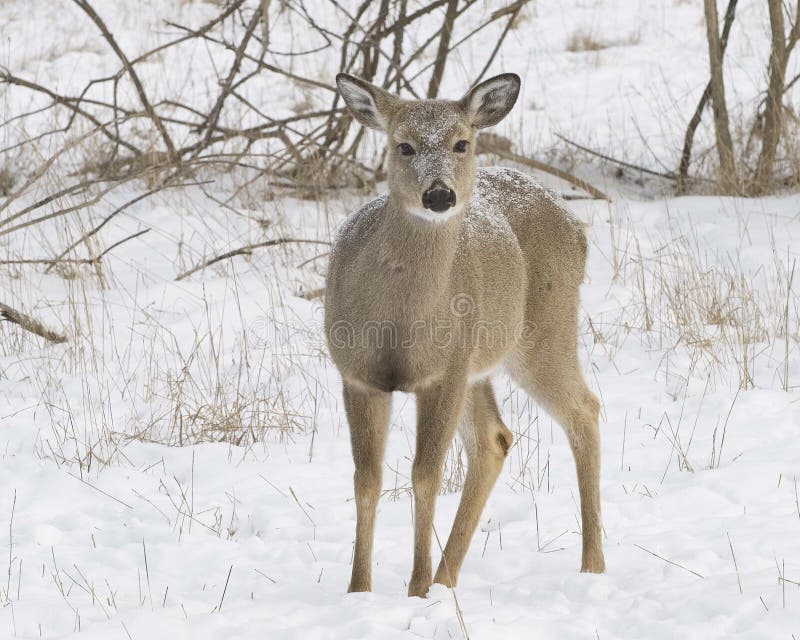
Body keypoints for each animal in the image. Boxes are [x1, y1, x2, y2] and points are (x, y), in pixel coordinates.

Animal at [324, 72, 605, 598]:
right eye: (404, 145)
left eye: (461, 143)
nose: (439, 195)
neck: (397, 323)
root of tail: (576, 226)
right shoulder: (358, 375)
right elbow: (365, 480)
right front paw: (358, 591)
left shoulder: (442, 375)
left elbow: (425, 475)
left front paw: (414, 590)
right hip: (479, 361)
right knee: (495, 438)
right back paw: (446, 577)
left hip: (541, 332)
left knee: (583, 408)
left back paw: (592, 565)